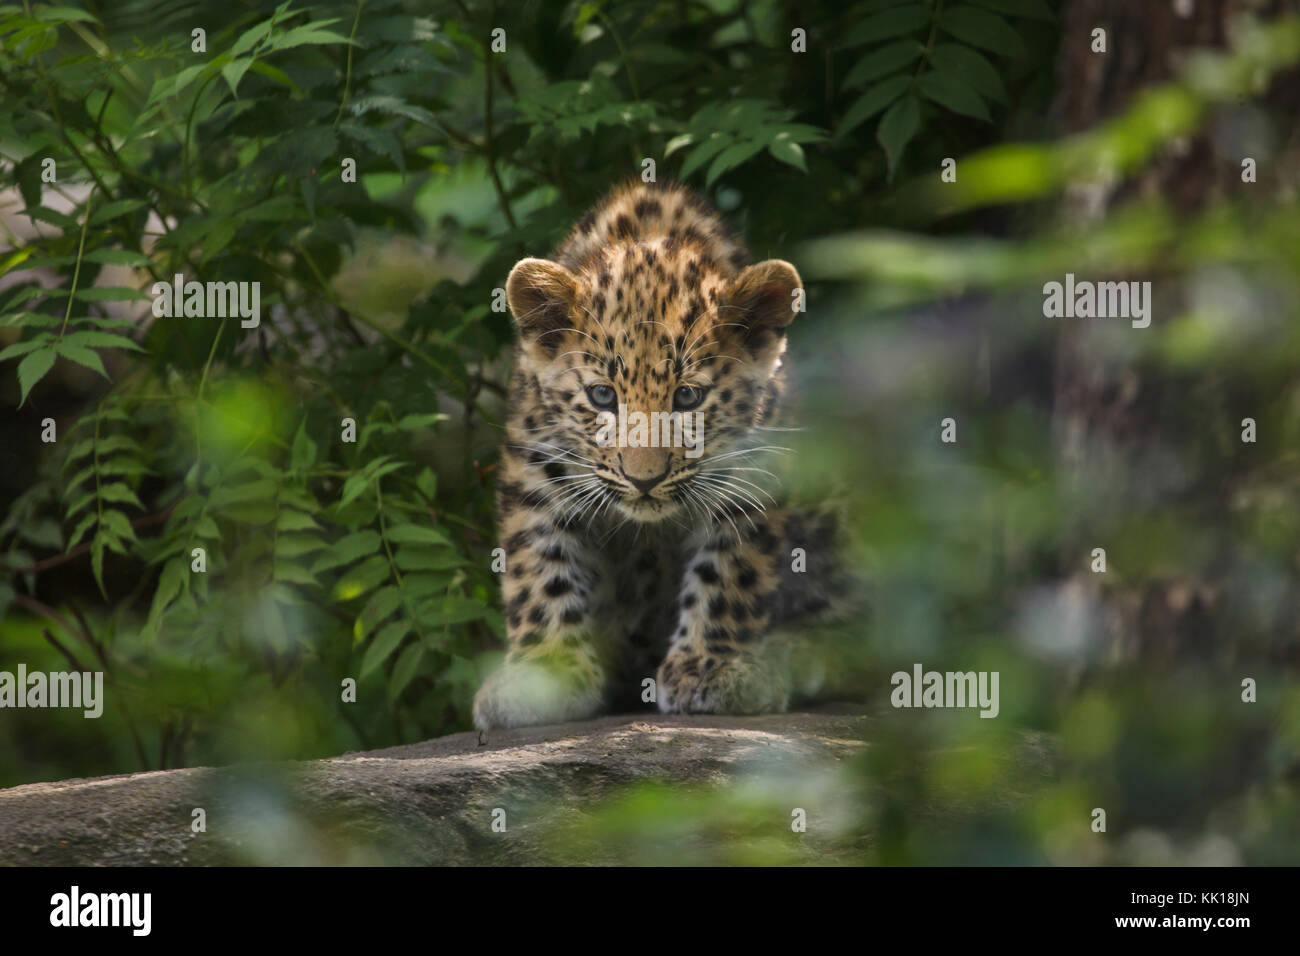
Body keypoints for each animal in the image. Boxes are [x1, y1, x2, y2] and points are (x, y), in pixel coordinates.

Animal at [472, 179, 850, 731]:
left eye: (688, 398)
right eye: (602, 396)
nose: (644, 479)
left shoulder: (754, 469)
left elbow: (730, 570)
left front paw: (710, 668)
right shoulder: (536, 466)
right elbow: (539, 567)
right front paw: (542, 676)